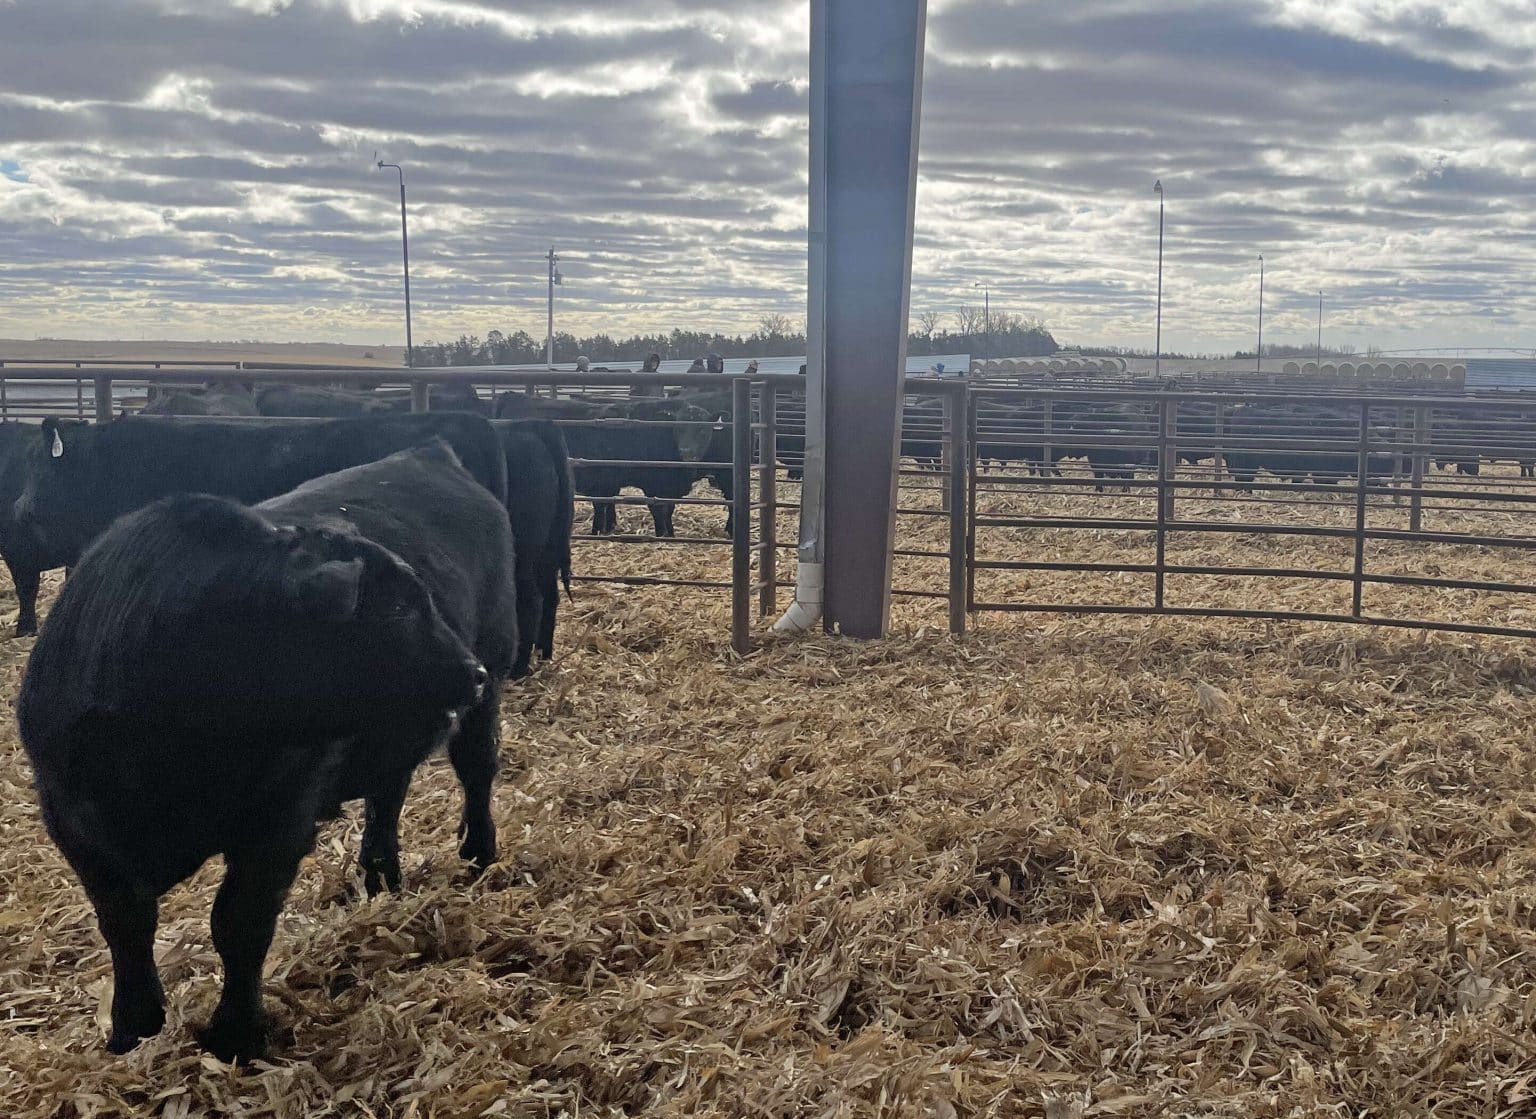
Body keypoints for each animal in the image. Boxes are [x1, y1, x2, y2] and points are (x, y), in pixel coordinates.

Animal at [18, 440, 518, 1063]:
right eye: (400, 609)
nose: (469, 672)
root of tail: (427, 453)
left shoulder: (279, 822)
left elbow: (239, 926)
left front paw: (237, 1033)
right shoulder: (79, 829)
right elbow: (126, 927)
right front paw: (133, 1027)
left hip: (493, 669)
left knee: (476, 769)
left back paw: (477, 850)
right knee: (388, 790)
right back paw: (379, 874)